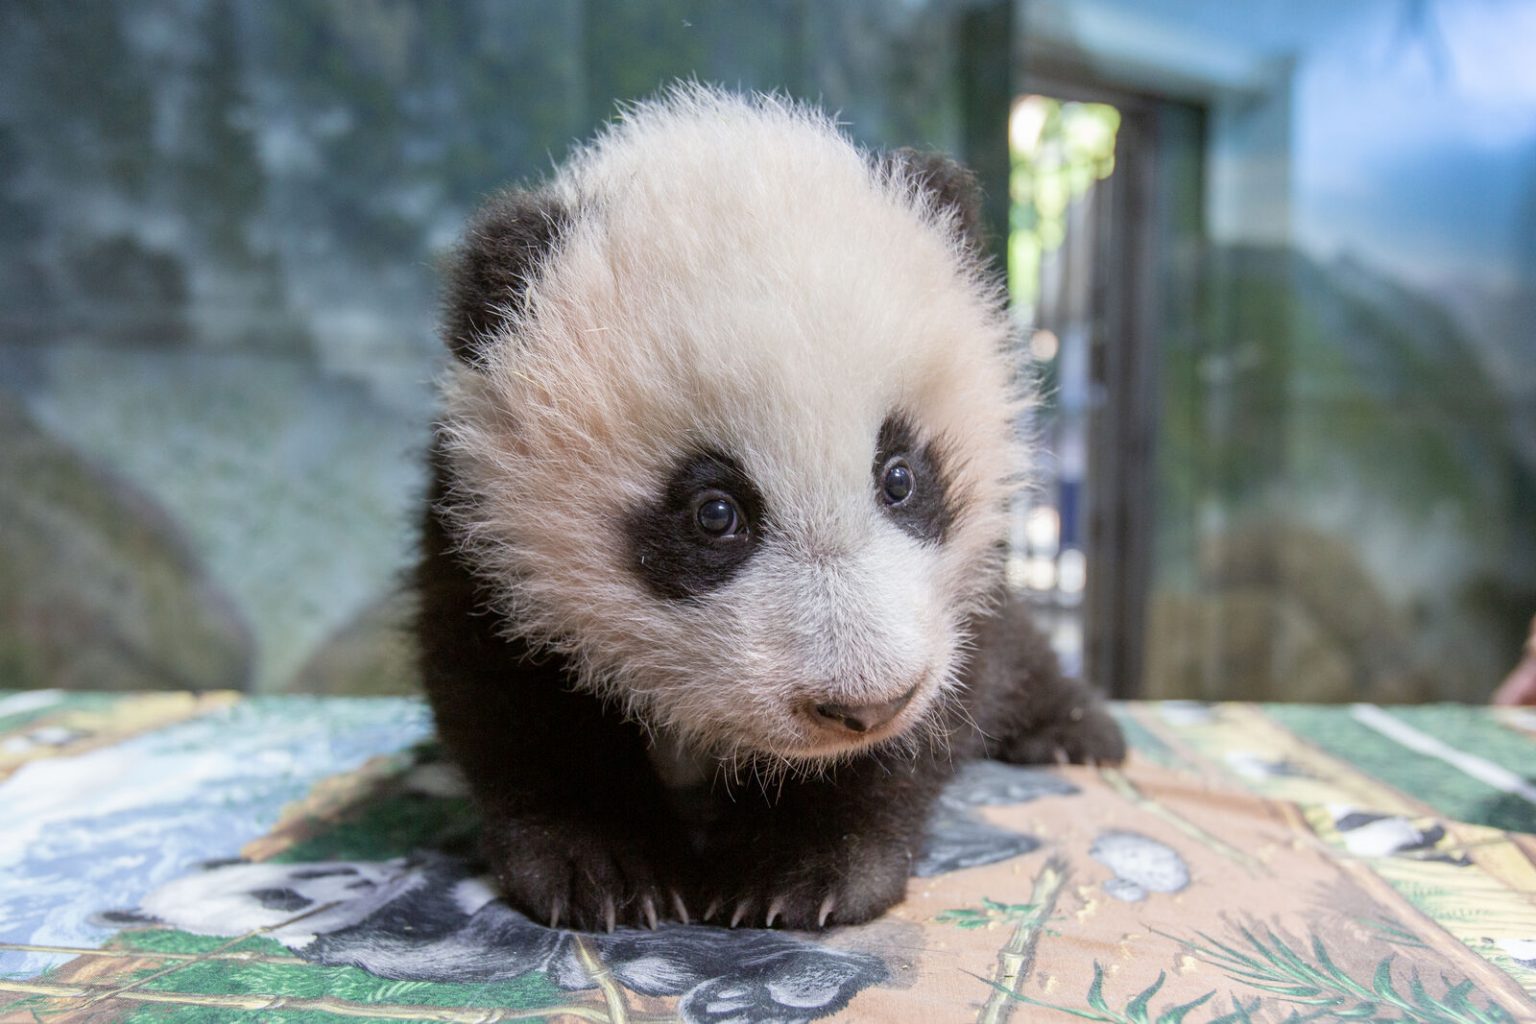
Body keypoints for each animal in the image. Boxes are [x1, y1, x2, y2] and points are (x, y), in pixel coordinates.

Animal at [417, 85, 1124, 933]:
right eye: (714, 514)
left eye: (900, 478)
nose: (866, 705)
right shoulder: (481, 530)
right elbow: (513, 690)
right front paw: (603, 865)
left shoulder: (955, 586)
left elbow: (952, 689)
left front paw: (805, 864)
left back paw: (1075, 730)